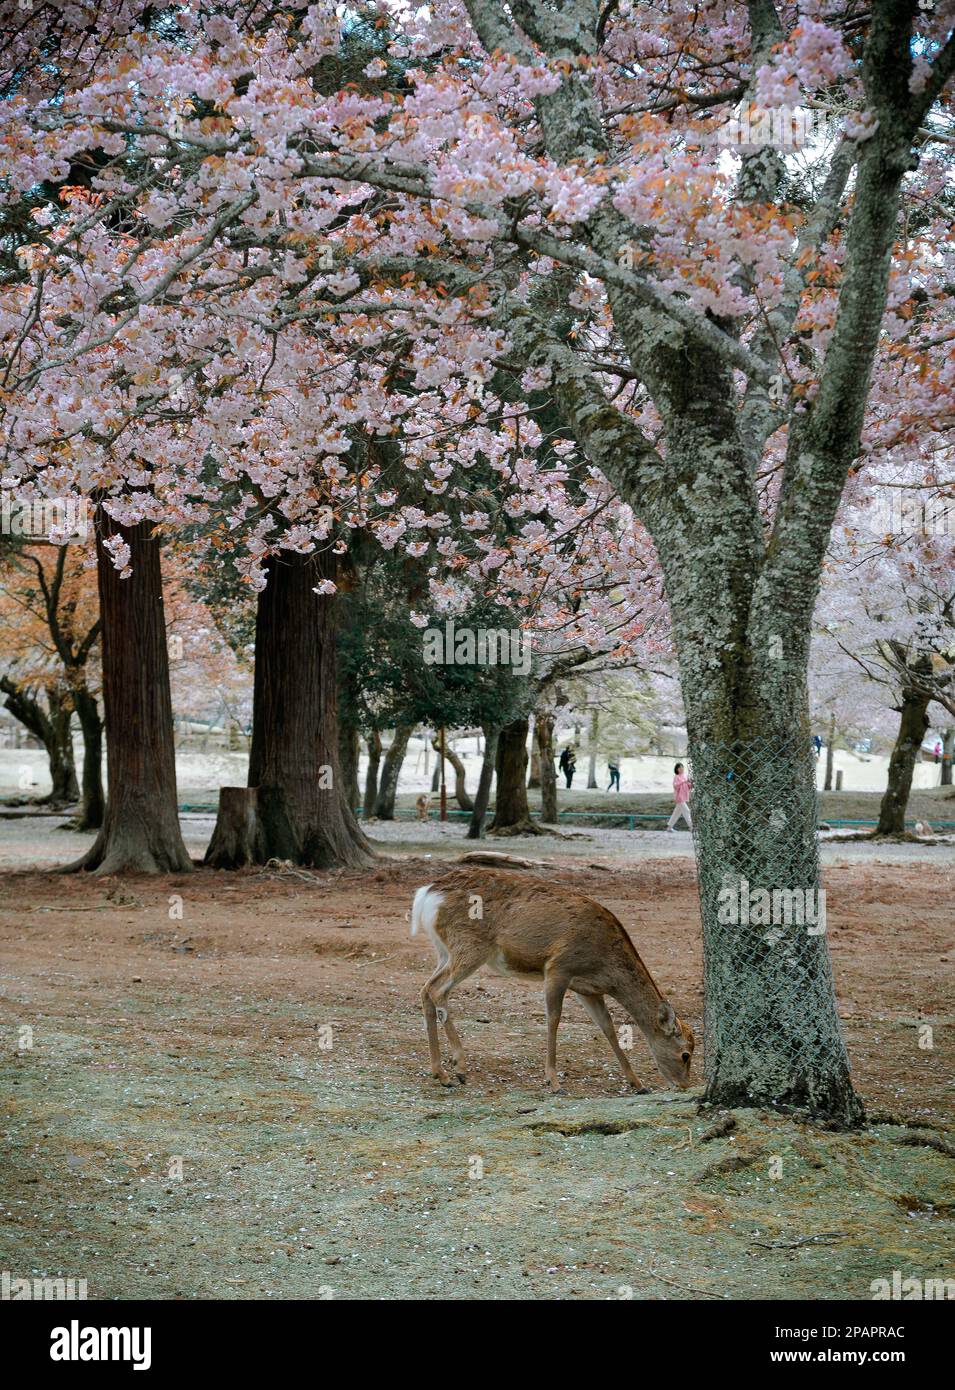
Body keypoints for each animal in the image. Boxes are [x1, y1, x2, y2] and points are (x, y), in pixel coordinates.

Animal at [410, 865, 695, 1093]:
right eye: (685, 1054)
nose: (684, 1085)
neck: (605, 965)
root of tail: (426, 894)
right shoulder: (559, 967)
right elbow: (554, 1019)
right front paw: (554, 1081)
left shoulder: (589, 989)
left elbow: (607, 1027)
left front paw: (637, 1083)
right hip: (469, 946)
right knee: (437, 990)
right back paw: (458, 1067)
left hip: (444, 950)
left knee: (425, 989)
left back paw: (440, 1072)